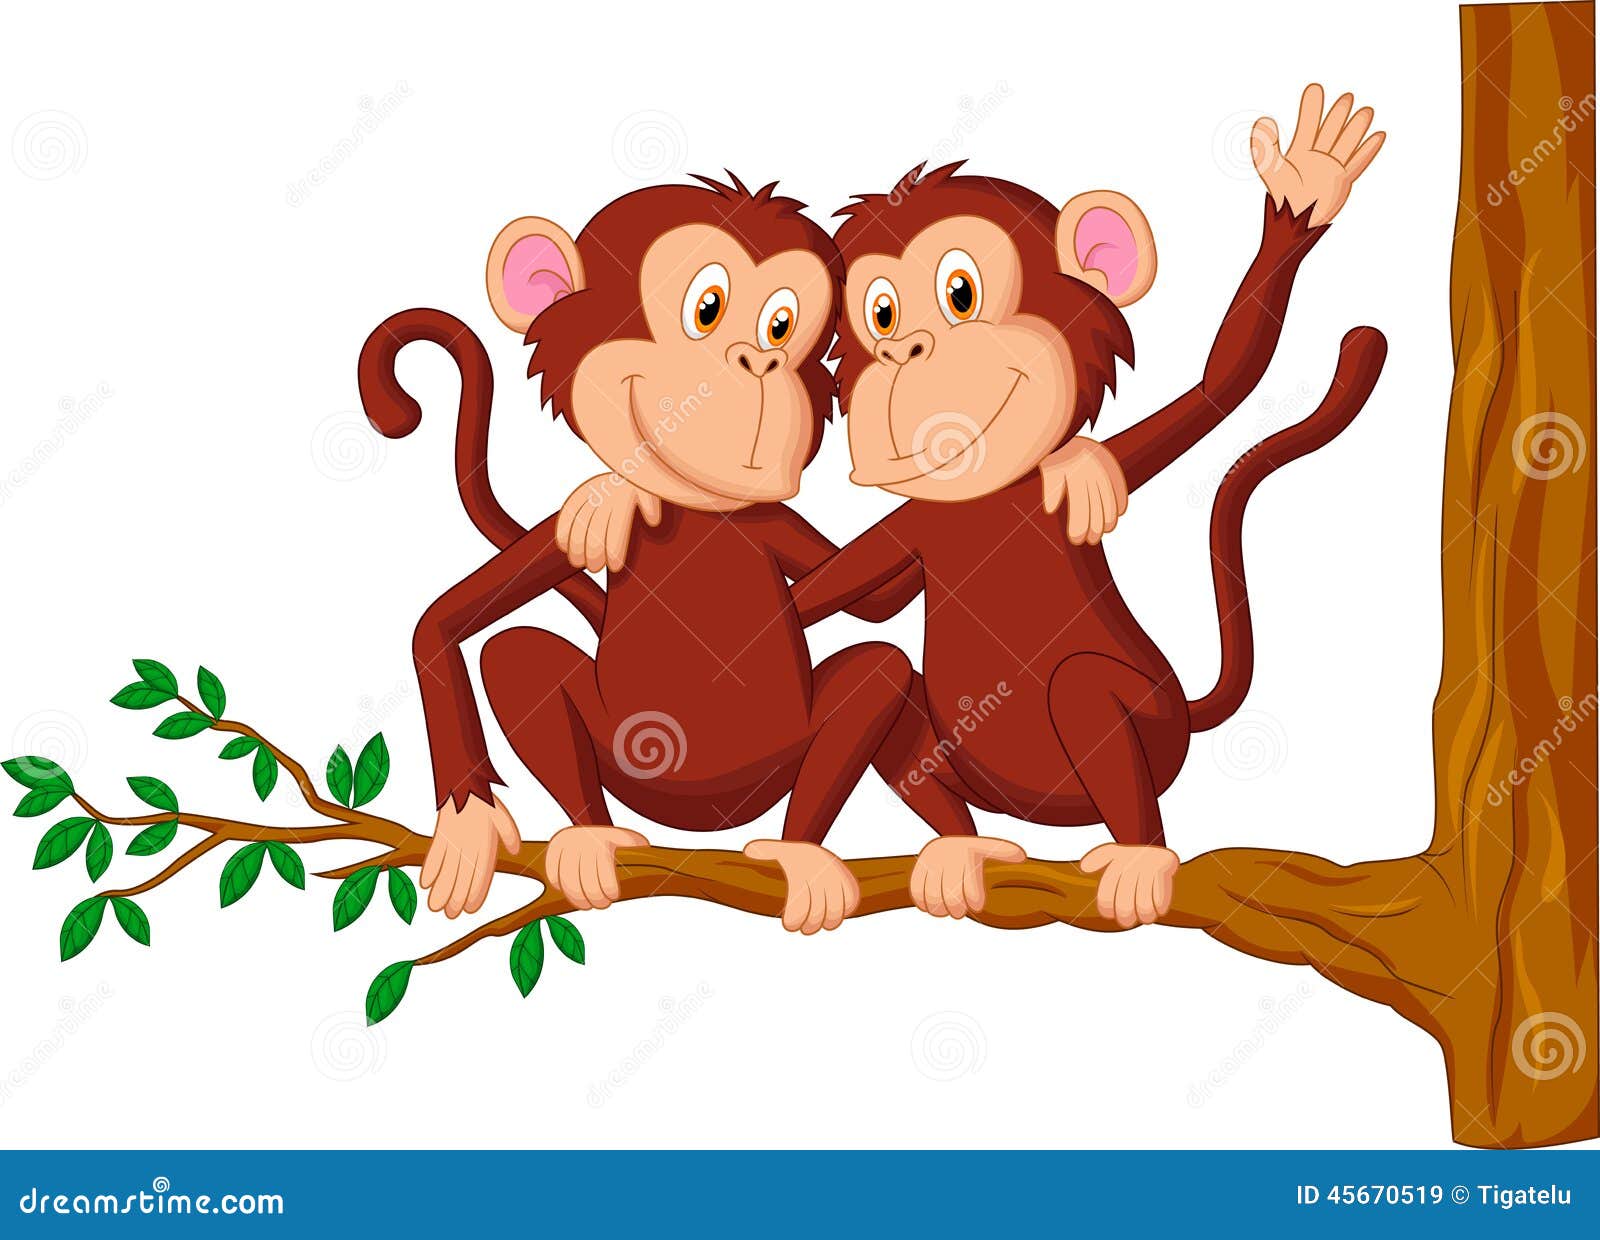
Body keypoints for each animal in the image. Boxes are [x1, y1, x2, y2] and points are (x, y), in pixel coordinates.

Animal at [359, 175, 1010, 933]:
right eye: (707, 308)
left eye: (781, 325)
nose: (760, 361)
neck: (699, 509)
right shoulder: (558, 537)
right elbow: (444, 620)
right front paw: (469, 826)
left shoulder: (769, 519)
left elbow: (879, 607)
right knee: (513, 652)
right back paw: (592, 839)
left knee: (879, 670)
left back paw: (805, 855)